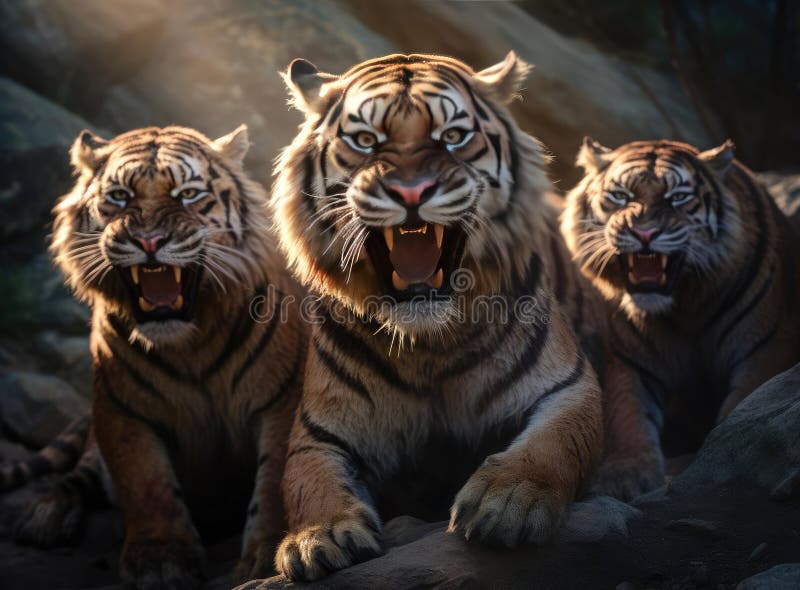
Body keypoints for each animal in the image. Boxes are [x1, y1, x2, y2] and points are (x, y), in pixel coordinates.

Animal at [7, 125, 307, 589]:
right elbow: (145, 481)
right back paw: (44, 515)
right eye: (118, 196)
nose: (148, 242)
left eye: (187, 194)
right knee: (78, 476)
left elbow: (275, 478)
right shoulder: (121, 409)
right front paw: (160, 562)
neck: (189, 345)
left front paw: (269, 553)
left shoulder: (281, 399)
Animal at [268, 51, 603, 581]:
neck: (428, 342)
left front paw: (507, 502)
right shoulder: (321, 433)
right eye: (365, 140)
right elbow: (307, 480)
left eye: (453, 136)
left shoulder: (568, 387)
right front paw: (319, 537)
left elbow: (552, 442)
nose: (411, 192)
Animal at [560, 138, 800, 500]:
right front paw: (625, 476)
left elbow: (744, 404)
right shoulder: (630, 360)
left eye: (677, 198)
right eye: (621, 196)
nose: (644, 232)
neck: (683, 307)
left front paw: (716, 456)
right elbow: (627, 414)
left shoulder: (766, 348)